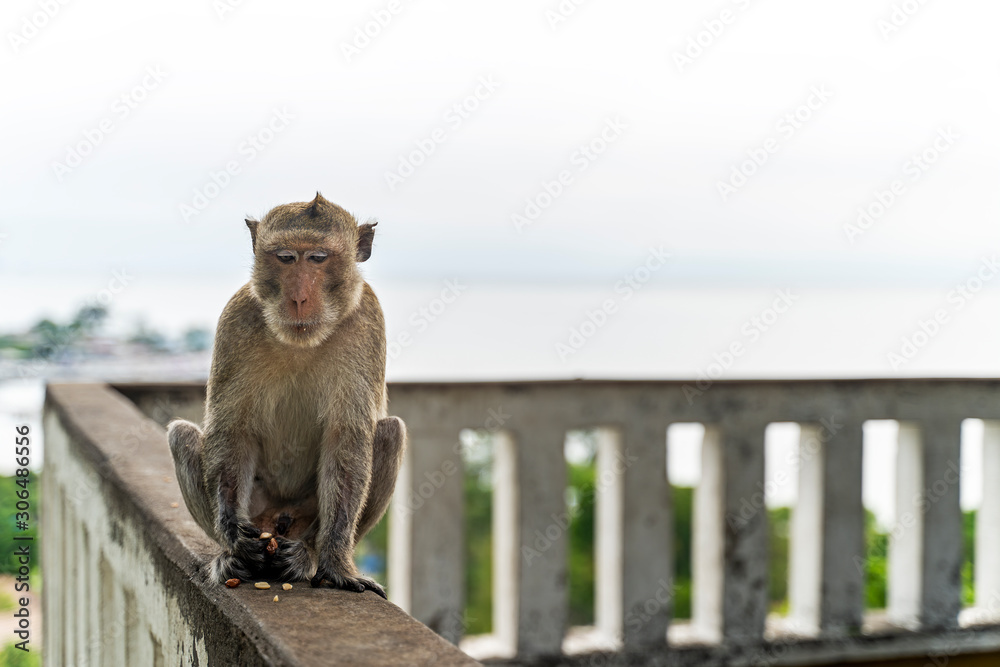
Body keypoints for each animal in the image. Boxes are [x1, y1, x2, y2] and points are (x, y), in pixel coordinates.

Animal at [166, 193, 406, 598]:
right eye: (286, 257)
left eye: (318, 258)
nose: (299, 298)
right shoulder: (236, 318)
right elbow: (232, 429)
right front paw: (233, 536)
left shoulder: (368, 322)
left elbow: (346, 437)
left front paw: (335, 564)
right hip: (260, 508)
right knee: (182, 436)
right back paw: (233, 556)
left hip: (305, 514)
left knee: (390, 432)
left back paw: (305, 554)